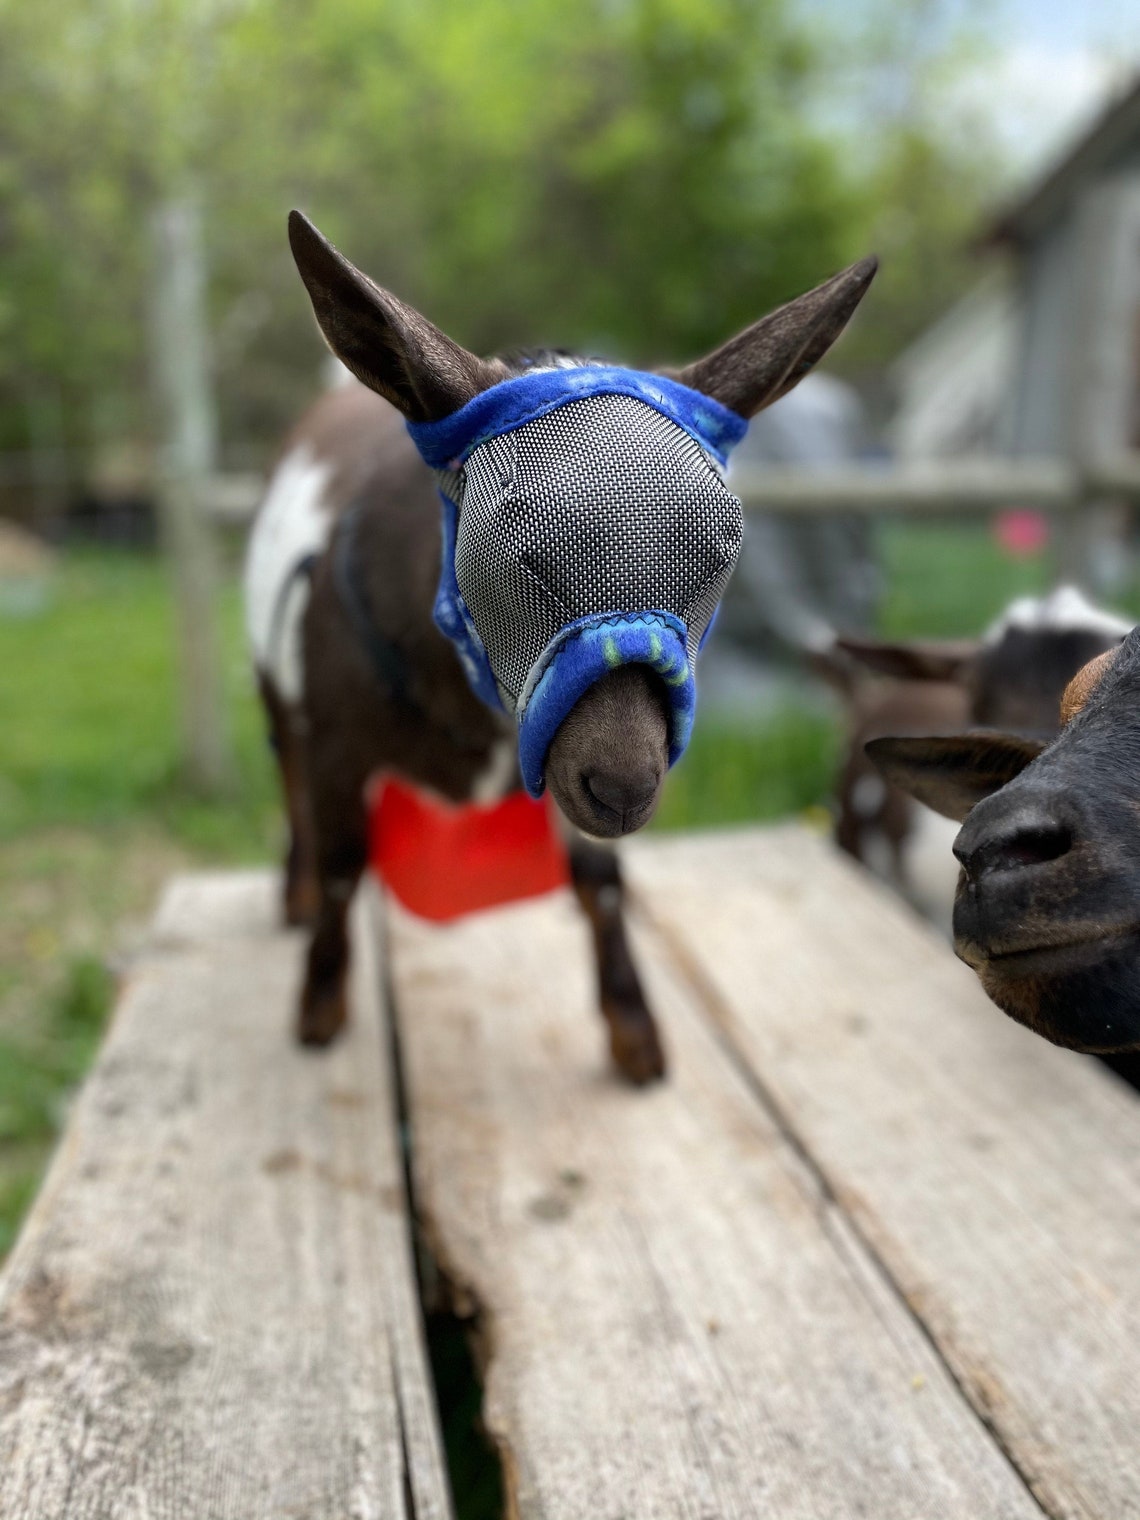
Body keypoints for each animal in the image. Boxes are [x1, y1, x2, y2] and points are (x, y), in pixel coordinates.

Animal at [245, 212, 876, 1083]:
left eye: (721, 557)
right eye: (513, 555)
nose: (626, 787)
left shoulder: (555, 734)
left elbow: (600, 876)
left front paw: (634, 1032)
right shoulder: (343, 737)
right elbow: (345, 861)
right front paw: (320, 1005)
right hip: (279, 685)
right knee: (288, 771)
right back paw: (295, 893)